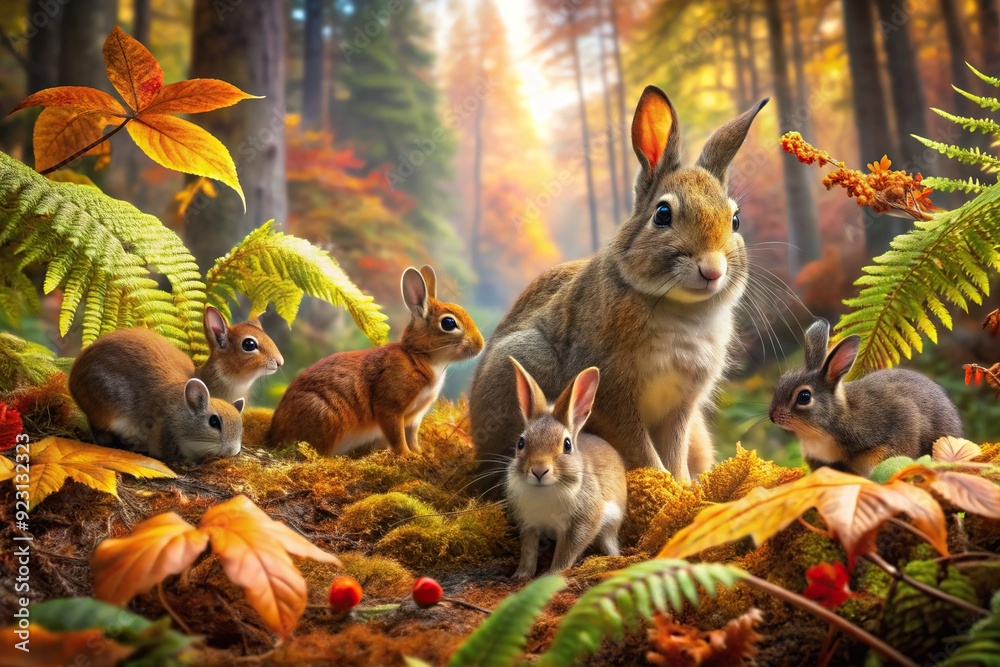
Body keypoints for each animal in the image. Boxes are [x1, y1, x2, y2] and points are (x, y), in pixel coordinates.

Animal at [269, 265, 485, 456]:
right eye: (448, 323)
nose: (480, 344)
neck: (417, 356)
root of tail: (273, 434)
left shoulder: (415, 417)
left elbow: (412, 436)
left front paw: (421, 454)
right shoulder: (389, 406)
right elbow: (396, 435)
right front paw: (407, 456)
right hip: (324, 415)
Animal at [470, 85, 769, 491]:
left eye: (735, 220)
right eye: (663, 214)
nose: (713, 269)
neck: (679, 307)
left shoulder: (680, 408)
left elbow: (673, 451)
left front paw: (683, 489)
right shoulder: (614, 397)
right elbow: (643, 451)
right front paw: (667, 487)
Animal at [505, 358, 627, 580]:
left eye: (567, 445)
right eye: (521, 443)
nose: (539, 470)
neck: (544, 491)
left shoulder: (580, 525)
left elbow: (566, 553)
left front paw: (552, 574)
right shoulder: (529, 525)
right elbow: (528, 551)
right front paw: (521, 576)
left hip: (610, 526)